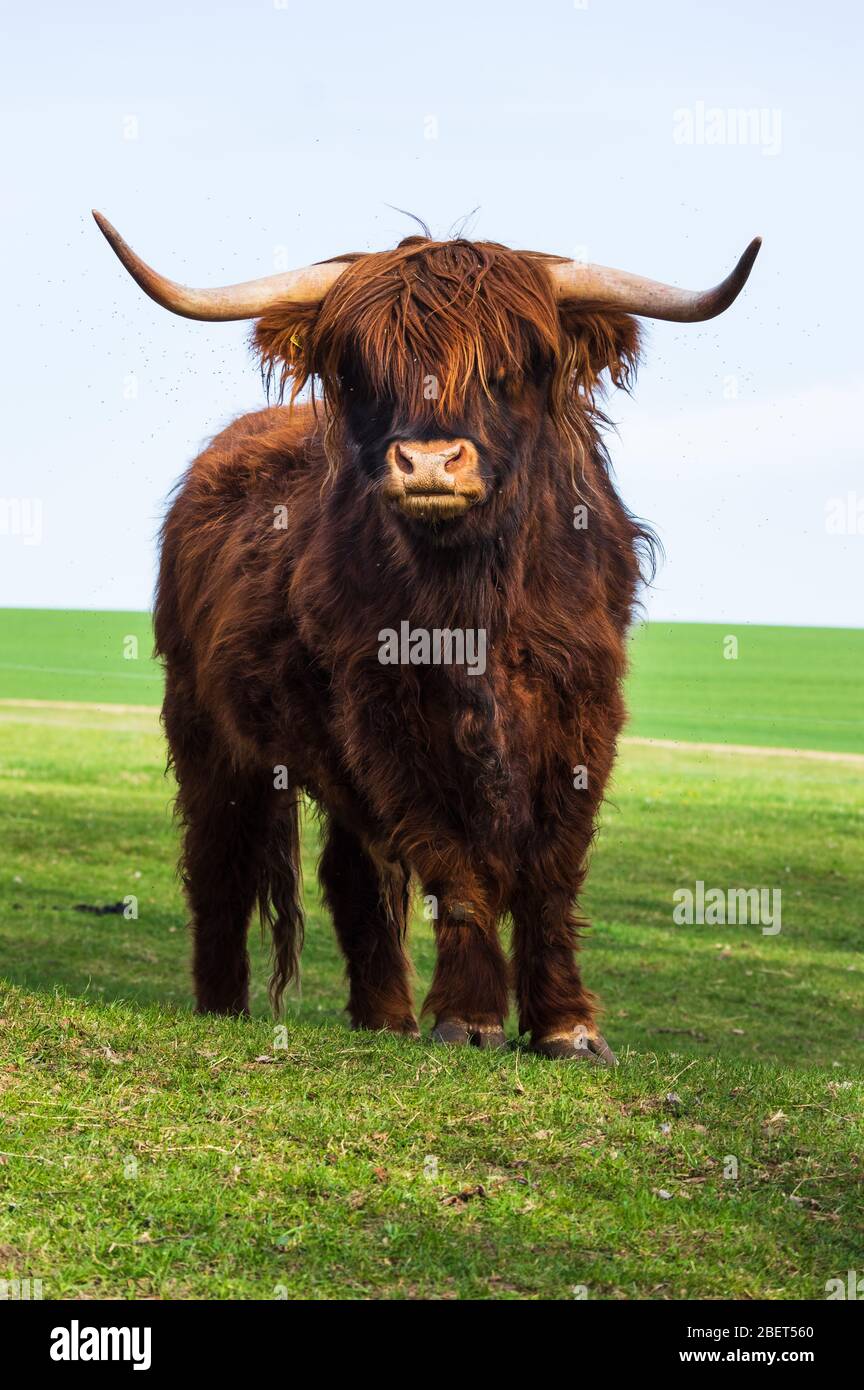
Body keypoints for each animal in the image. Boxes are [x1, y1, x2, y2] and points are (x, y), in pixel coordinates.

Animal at [94, 211, 760, 1062]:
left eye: (513, 366)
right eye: (363, 370)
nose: (429, 462)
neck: (474, 600)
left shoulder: (583, 706)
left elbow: (552, 867)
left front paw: (568, 1027)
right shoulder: (390, 714)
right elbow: (455, 860)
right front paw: (470, 1017)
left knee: (356, 875)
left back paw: (384, 1016)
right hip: (207, 727)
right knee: (221, 864)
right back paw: (223, 1007)